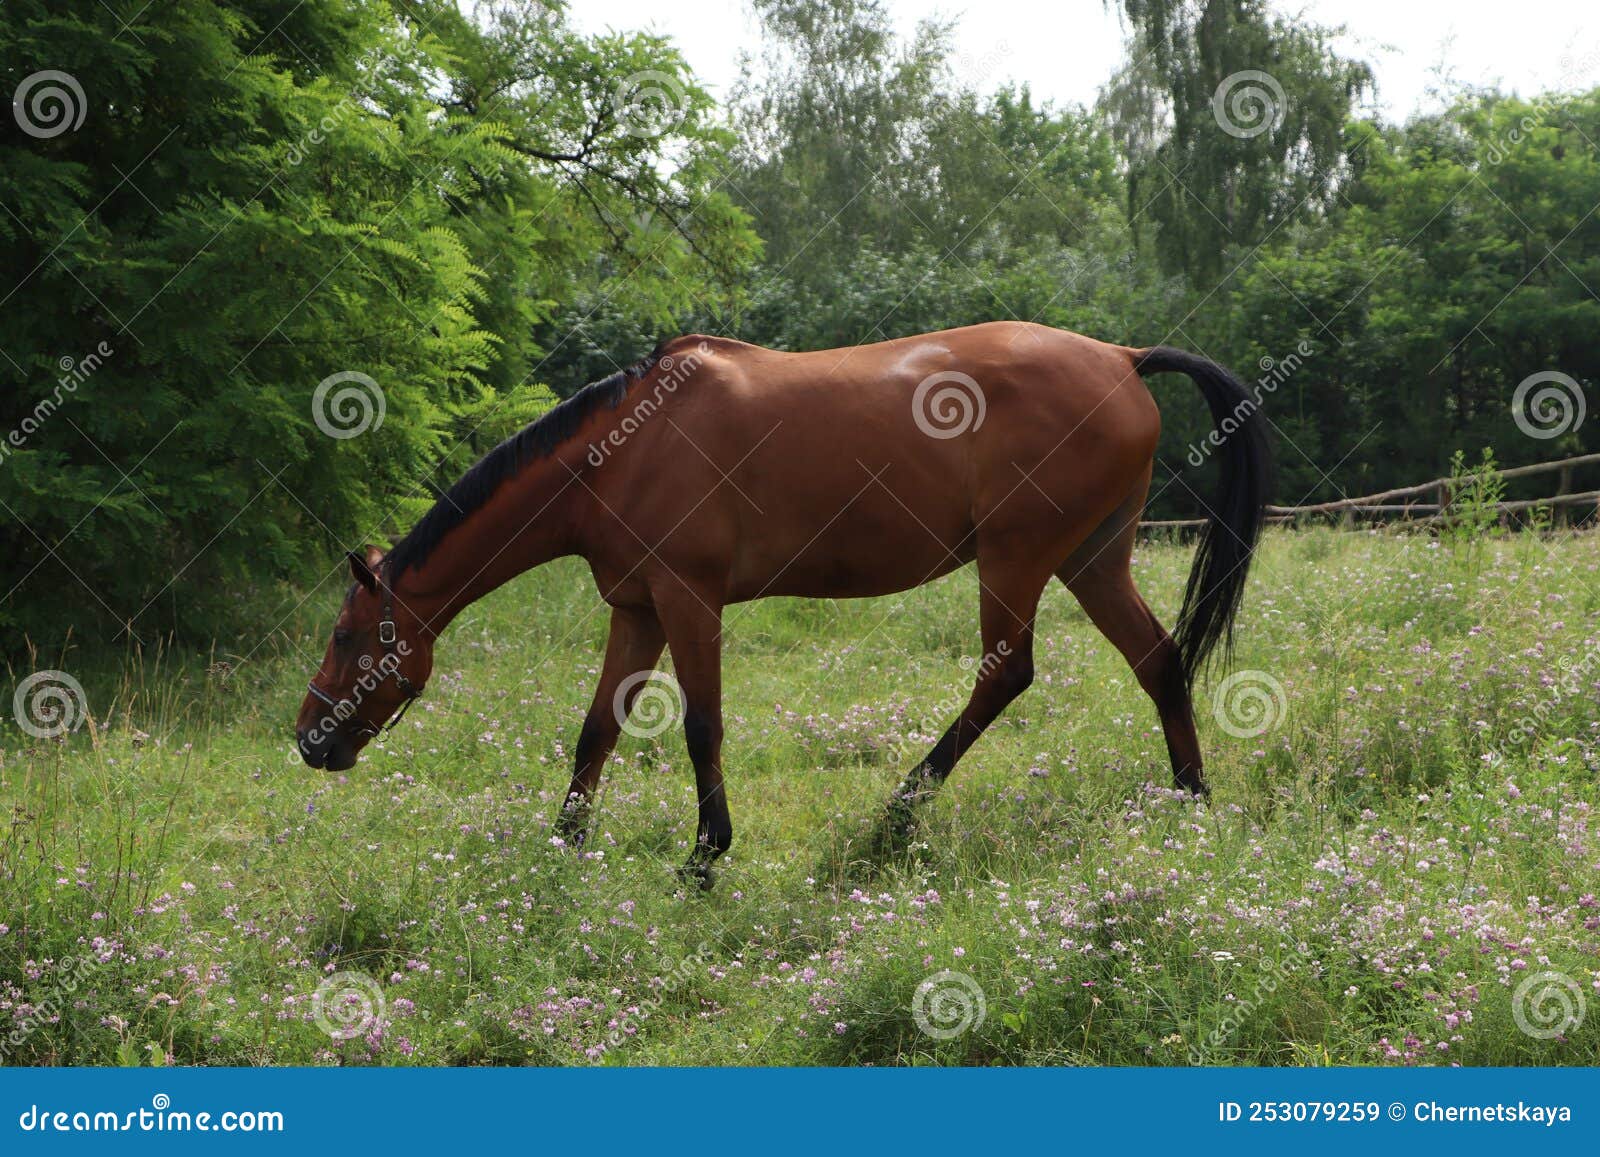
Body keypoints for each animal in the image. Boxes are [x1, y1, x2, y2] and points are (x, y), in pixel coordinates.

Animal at [296, 321, 1269, 886]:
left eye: (347, 635)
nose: (309, 740)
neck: (621, 449)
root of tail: (1121, 360)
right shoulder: (636, 609)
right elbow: (596, 729)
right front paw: (564, 842)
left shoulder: (688, 600)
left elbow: (701, 727)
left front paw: (704, 855)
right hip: (1092, 560)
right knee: (1158, 661)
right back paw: (1190, 803)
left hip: (1018, 559)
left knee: (1008, 676)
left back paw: (898, 811)